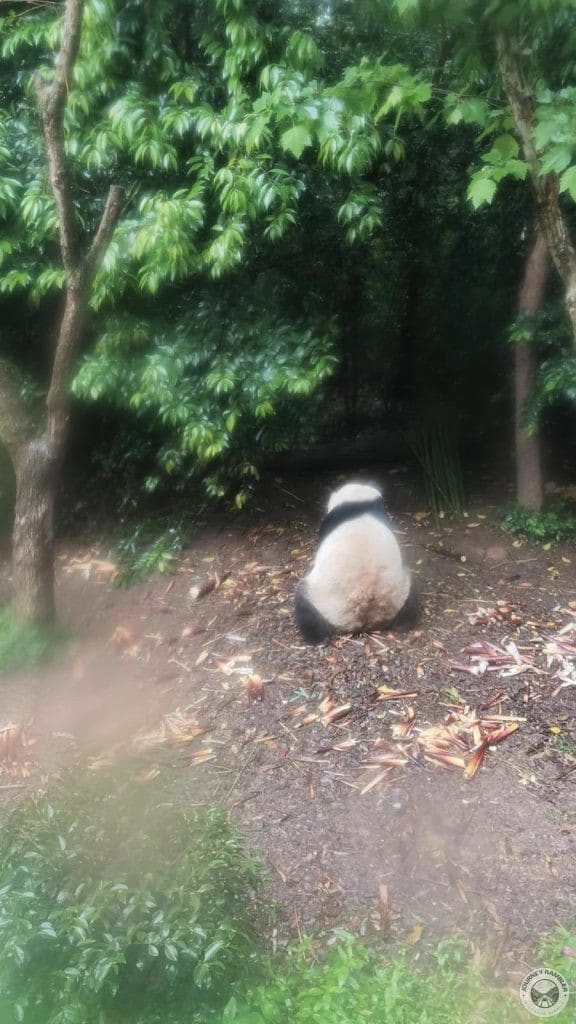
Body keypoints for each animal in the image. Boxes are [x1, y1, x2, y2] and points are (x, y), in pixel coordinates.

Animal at [294, 481, 417, 643]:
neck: (358, 504)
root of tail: (364, 612)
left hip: (324, 598)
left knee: (304, 603)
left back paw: (318, 638)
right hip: (401, 590)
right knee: (410, 602)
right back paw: (404, 624)